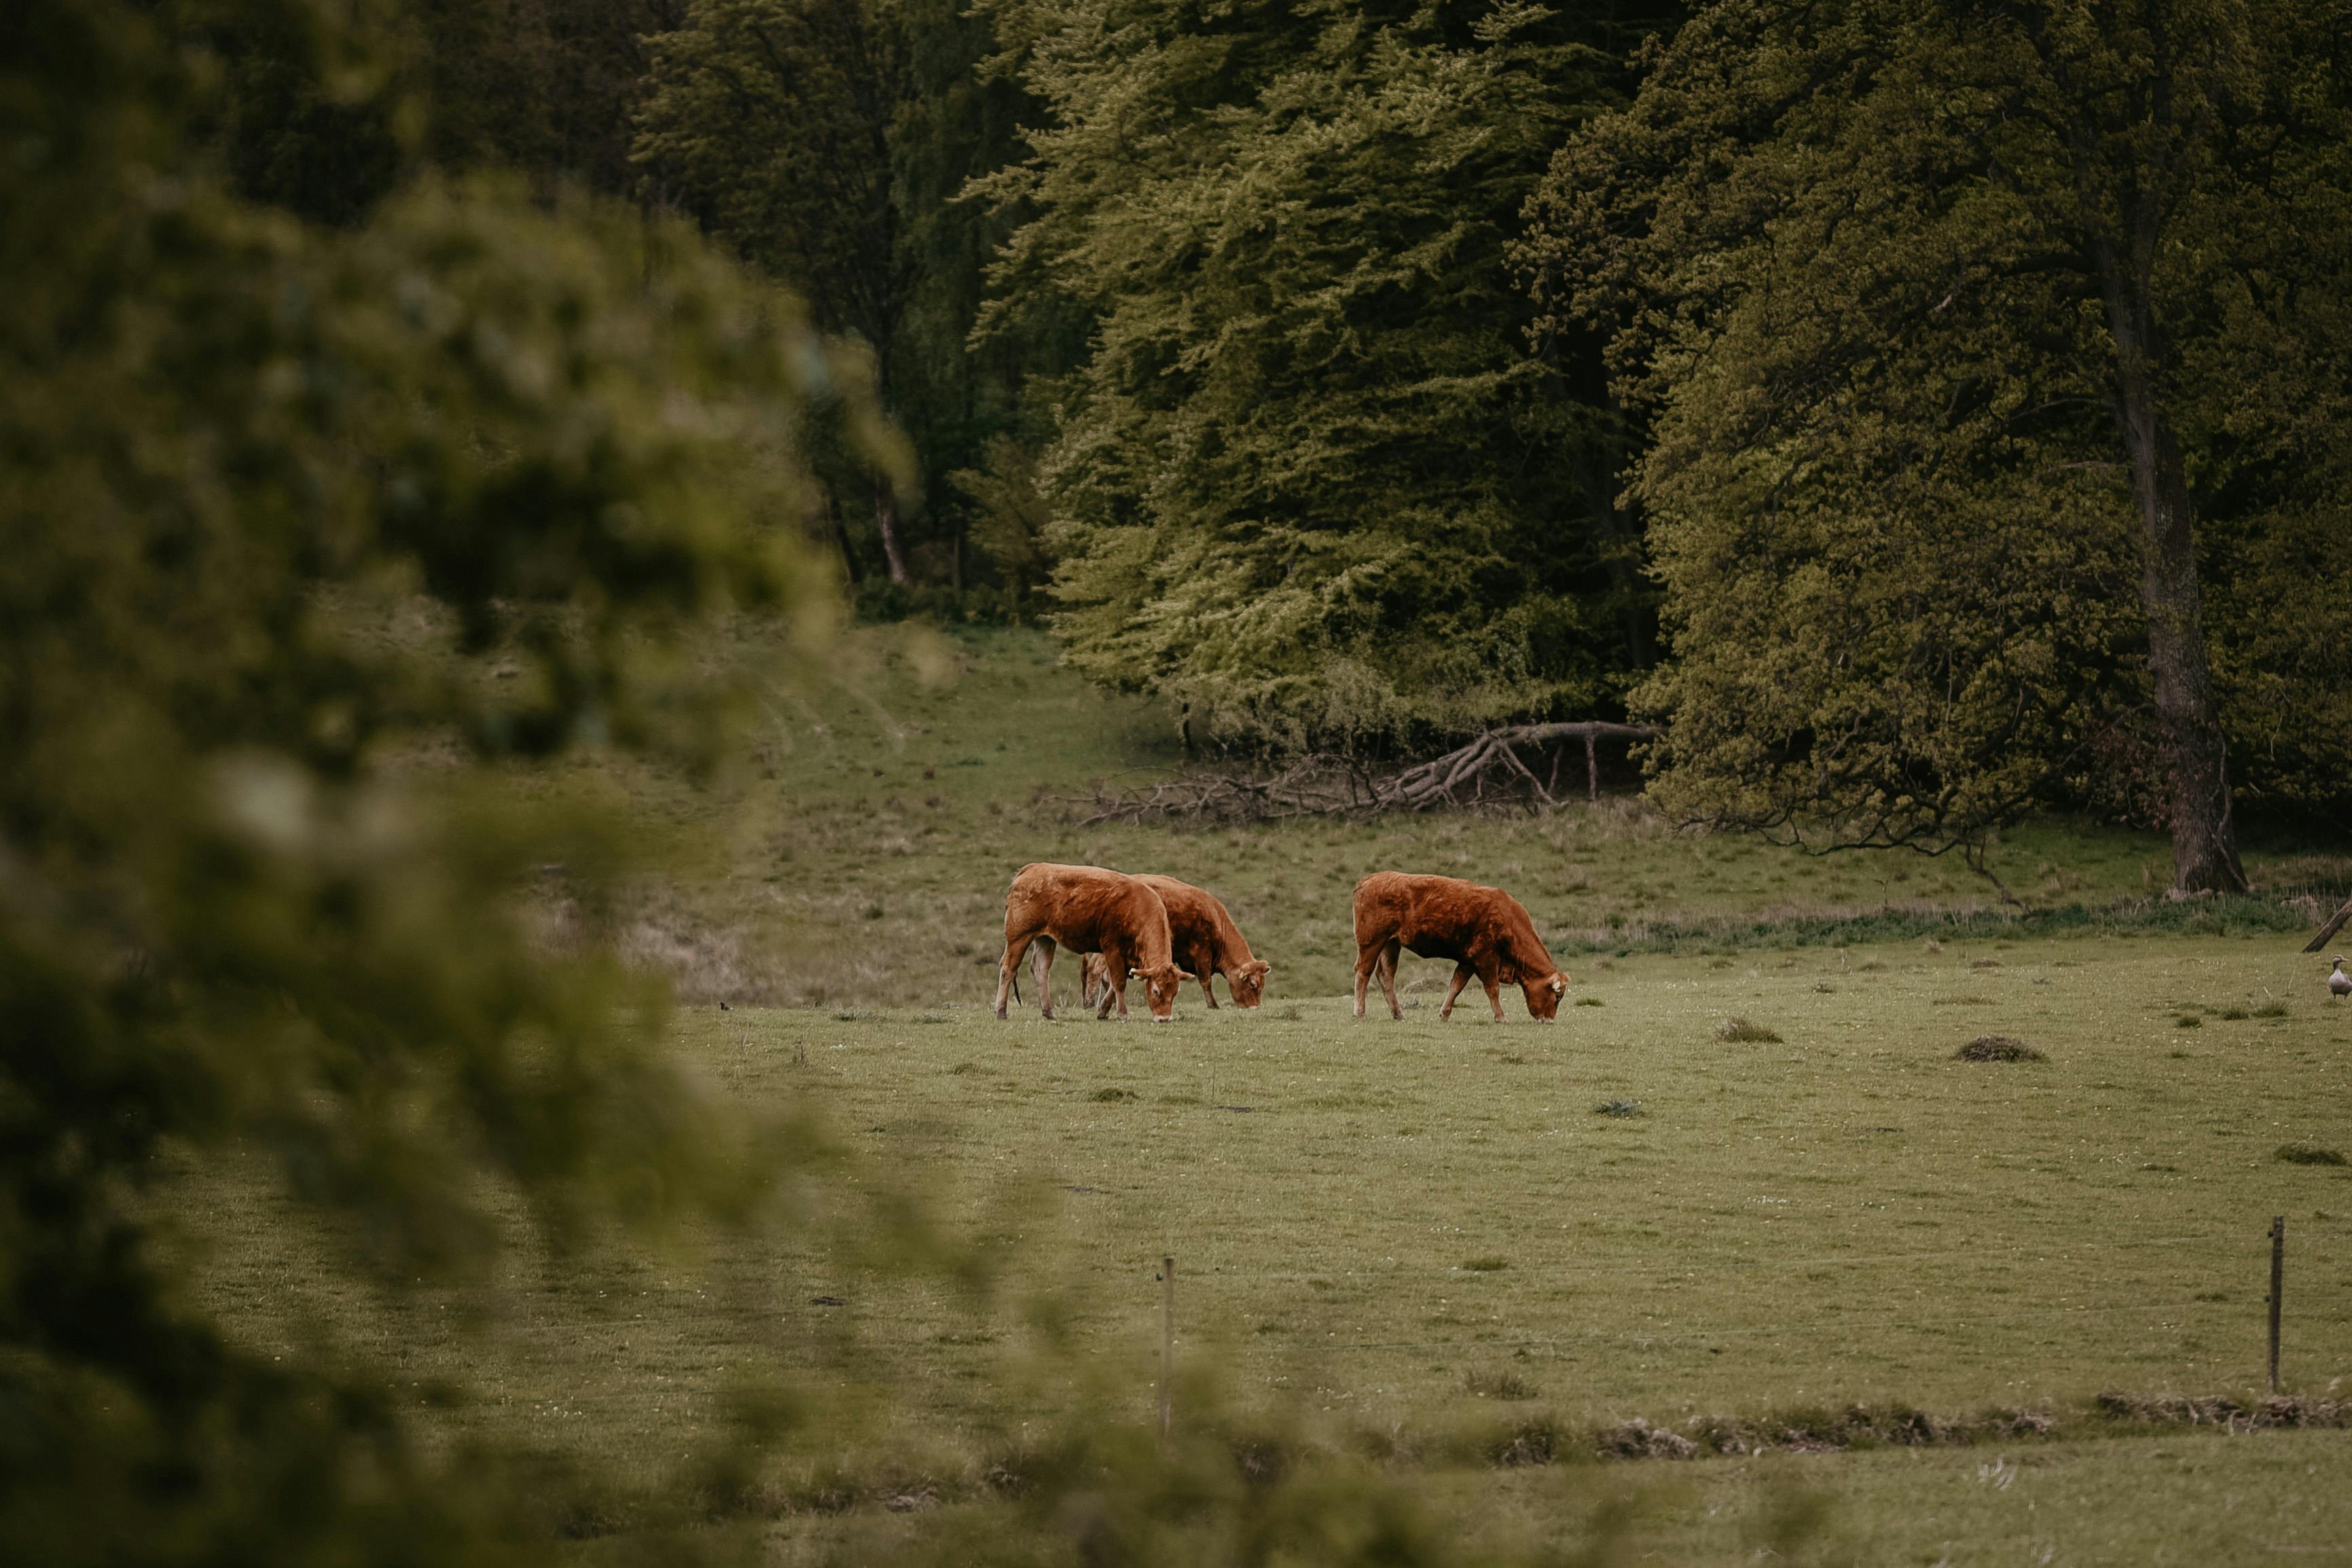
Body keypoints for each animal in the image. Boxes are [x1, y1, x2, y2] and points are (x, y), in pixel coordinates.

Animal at [994, 862, 1193, 1022]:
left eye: (1175, 992)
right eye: (1156, 991)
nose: (1164, 1018)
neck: (1138, 906)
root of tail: (1031, 868)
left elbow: (1114, 984)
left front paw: (1104, 1011)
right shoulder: (1112, 949)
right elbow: (1119, 982)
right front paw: (1122, 1014)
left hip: (1046, 939)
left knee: (1040, 970)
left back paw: (1048, 1013)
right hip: (1019, 937)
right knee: (1009, 968)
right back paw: (1001, 1011)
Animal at [1077, 874, 1271, 1012]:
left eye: (1262, 985)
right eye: (1253, 985)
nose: (1255, 1008)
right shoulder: (1201, 952)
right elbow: (1206, 981)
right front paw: (1212, 1004)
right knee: (1097, 970)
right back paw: (1091, 1003)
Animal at [1351, 871, 1568, 1022]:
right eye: (1557, 996)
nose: (1549, 1020)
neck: (1509, 921)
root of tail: (1370, 879)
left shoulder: (1468, 961)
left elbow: (1456, 985)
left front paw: (1444, 1014)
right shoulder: (1486, 959)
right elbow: (1492, 989)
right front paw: (1500, 1017)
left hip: (1391, 944)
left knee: (1386, 975)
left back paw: (1398, 1014)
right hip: (1371, 942)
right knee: (1364, 972)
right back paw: (1360, 1013)